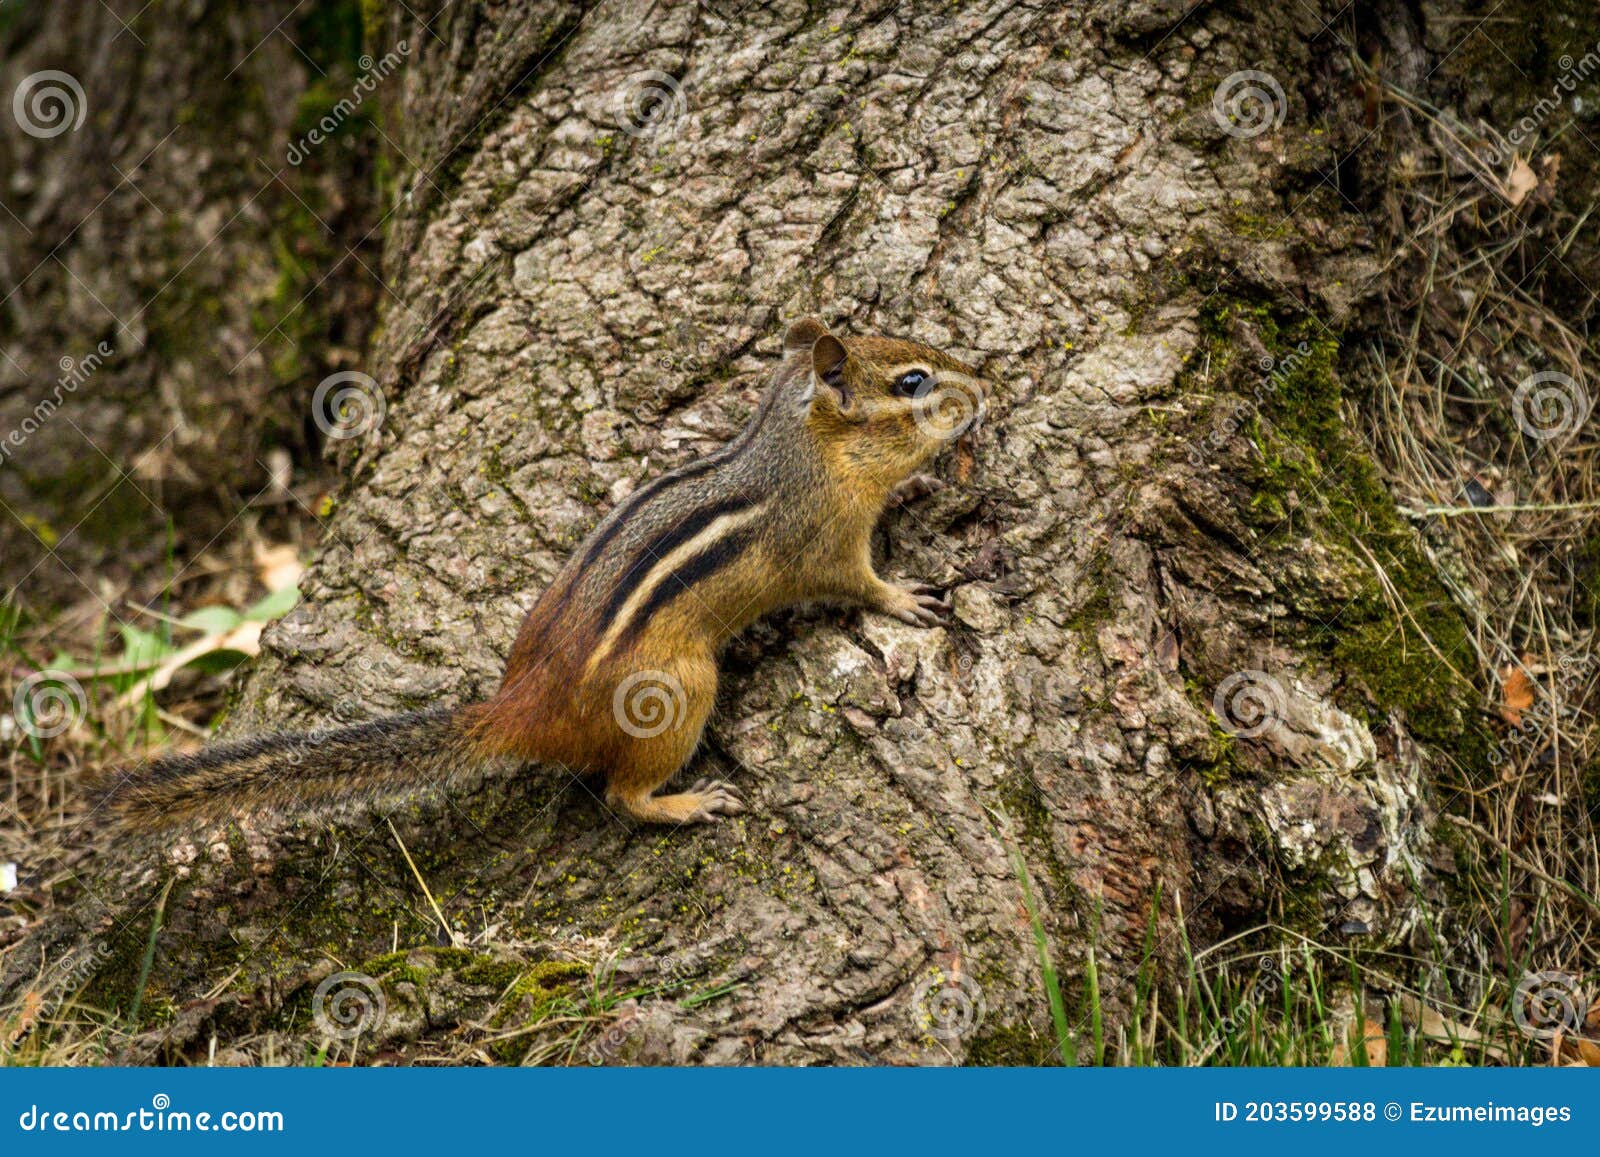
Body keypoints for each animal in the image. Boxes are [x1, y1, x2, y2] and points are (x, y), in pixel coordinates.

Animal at [96, 318, 987, 829]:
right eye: (913, 382)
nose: (985, 385)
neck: (802, 448)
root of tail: (523, 708)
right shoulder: (822, 535)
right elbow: (853, 581)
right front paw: (906, 595)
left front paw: (916, 486)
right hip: (680, 690)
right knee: (622, 797)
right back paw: (686, 802)